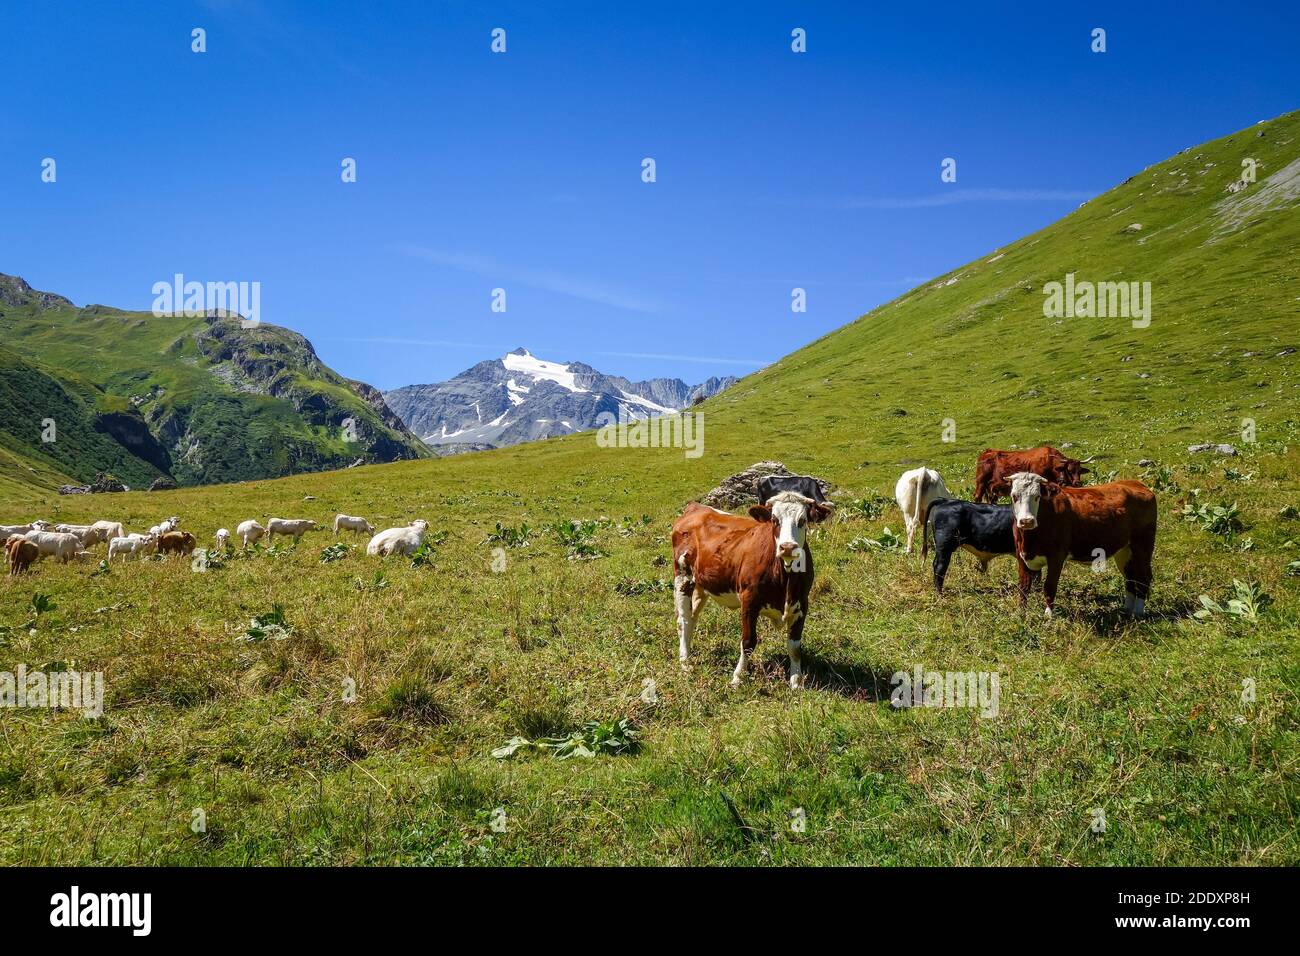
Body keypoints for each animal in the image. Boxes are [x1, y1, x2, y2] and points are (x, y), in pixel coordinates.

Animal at [671, 491, 832, 688]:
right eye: (774, 520)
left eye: (802, 520)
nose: (787, 547)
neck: (784, 578)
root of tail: (696, 507)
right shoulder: (749, 600)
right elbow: (748, 642)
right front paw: (737, 677)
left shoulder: (802, 603)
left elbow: (794, 647)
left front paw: (796, 682)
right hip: (682, 575)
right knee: (683, 620)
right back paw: (685, 662)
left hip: (701, 584)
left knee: (692, 618)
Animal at [1008, 472, 1157, 618]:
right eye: (1014, 496)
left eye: (1037, 496)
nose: (1027, 521)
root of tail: (1137, 483)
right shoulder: (1021, 555)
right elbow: (1023, 586)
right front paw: (1021, 613)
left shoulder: (1057, 556)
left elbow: (1049, 586)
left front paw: (1048, 616)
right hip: (1124, 551)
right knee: (1130, 578)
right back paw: (1126, 610)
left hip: (1142, 546)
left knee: (1143, 578)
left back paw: (1138, 613)